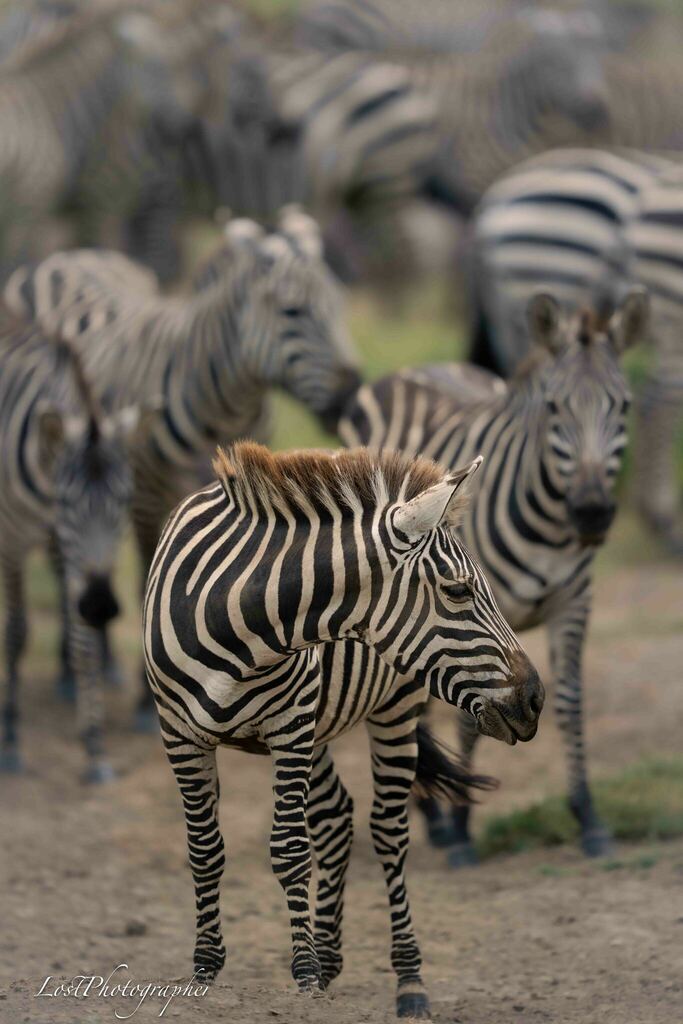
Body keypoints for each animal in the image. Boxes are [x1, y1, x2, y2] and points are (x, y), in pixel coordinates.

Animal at [0, 325, 141, 782]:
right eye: (67, 500)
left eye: (125, 500)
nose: (99, 605)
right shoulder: (12, 540)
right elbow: (16, 632)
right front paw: (11, 738)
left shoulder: (71, 547)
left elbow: (84, 644)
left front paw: (94, 746)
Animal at [4, 207, 361, 723]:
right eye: (292, 312)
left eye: (339, 307)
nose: (352, 398)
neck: (225, 405)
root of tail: (68, 255)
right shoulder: (146, 498)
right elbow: (148, 588)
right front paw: (146, 697)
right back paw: (73, 674)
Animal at [143, 440, 543, 1018]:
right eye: (458, 590)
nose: (535, 700)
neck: (237, 623)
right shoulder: (178, 734)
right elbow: (204, 850)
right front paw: (206, 968)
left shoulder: (290, 726)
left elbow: (290, 848)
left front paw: (304, 975)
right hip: (321, 726)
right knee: (335, 817)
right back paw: (330, 960)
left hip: (392, 710)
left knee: (387, 833)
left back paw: (407, 980)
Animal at [340, 288, 648, 860]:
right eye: (554, 408)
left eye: (624, 407)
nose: (592, 513)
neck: (550, 527)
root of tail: (421, 365)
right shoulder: (470, 605)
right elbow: (469, 715)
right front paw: (462, 826)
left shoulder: (575, 601)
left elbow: (571, 701)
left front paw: (588, 816)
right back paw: (436, 821)